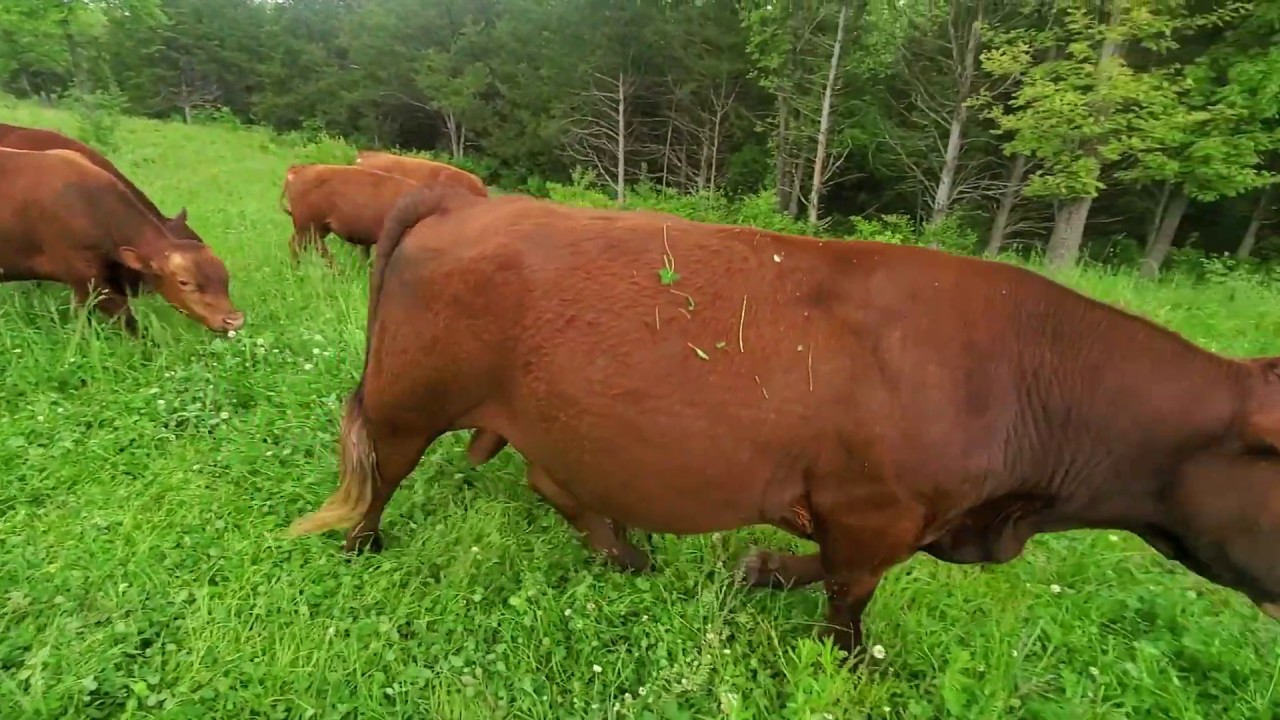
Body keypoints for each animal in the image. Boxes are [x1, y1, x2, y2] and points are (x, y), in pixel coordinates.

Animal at [288, 186, 1280, 660]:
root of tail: (464, 201)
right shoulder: (875, 507)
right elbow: (849, 594)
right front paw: (846, 661)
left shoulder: (890, 513)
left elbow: (826, 572)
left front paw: (757, 569)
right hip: (412, 396)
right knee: (383, 470)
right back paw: (364, 548)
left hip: (551, 419)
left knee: (554, 480)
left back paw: (628, 555)